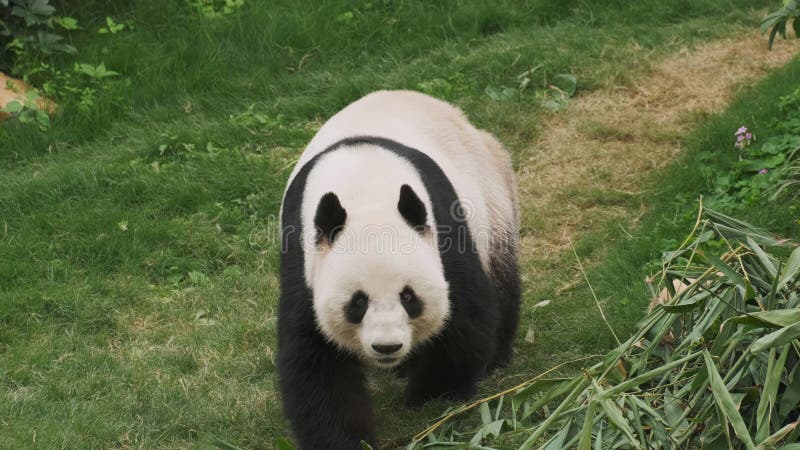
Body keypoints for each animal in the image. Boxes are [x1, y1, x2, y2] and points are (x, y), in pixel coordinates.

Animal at [278, 90, 520, 450]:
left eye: (409, 297)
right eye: (358, 302)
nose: (387, 347)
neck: (365, 190)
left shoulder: (443, 228)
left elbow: (464, 316)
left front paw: (430, 398)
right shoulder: (304, 256)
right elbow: (313, 355)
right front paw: (346, 439)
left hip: (491, 195)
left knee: (502, 281)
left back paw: (495, 358)